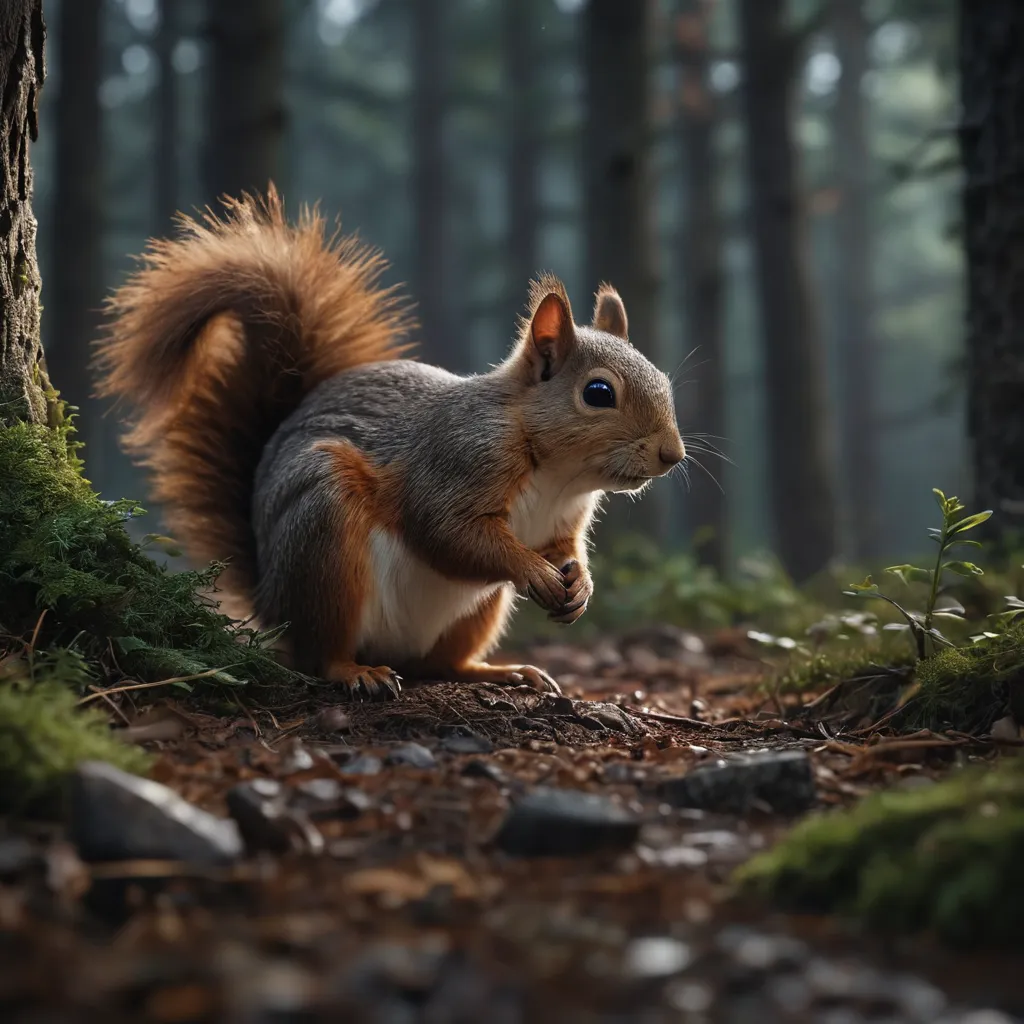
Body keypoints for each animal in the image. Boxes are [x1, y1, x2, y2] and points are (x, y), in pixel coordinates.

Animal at [95, 187, 685, 700]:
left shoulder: (563, 520)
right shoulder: (456, 460)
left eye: (664, 378)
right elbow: (449, 532)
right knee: (320, 652)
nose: (672, 455)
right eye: (598, 393)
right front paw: (534, 572)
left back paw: (501, 672)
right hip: (324, 537)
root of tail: (268, 599)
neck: (557, 473)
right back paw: (356, 672)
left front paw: (579, 582)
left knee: (441, 664)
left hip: (475, 613)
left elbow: (566, 548)